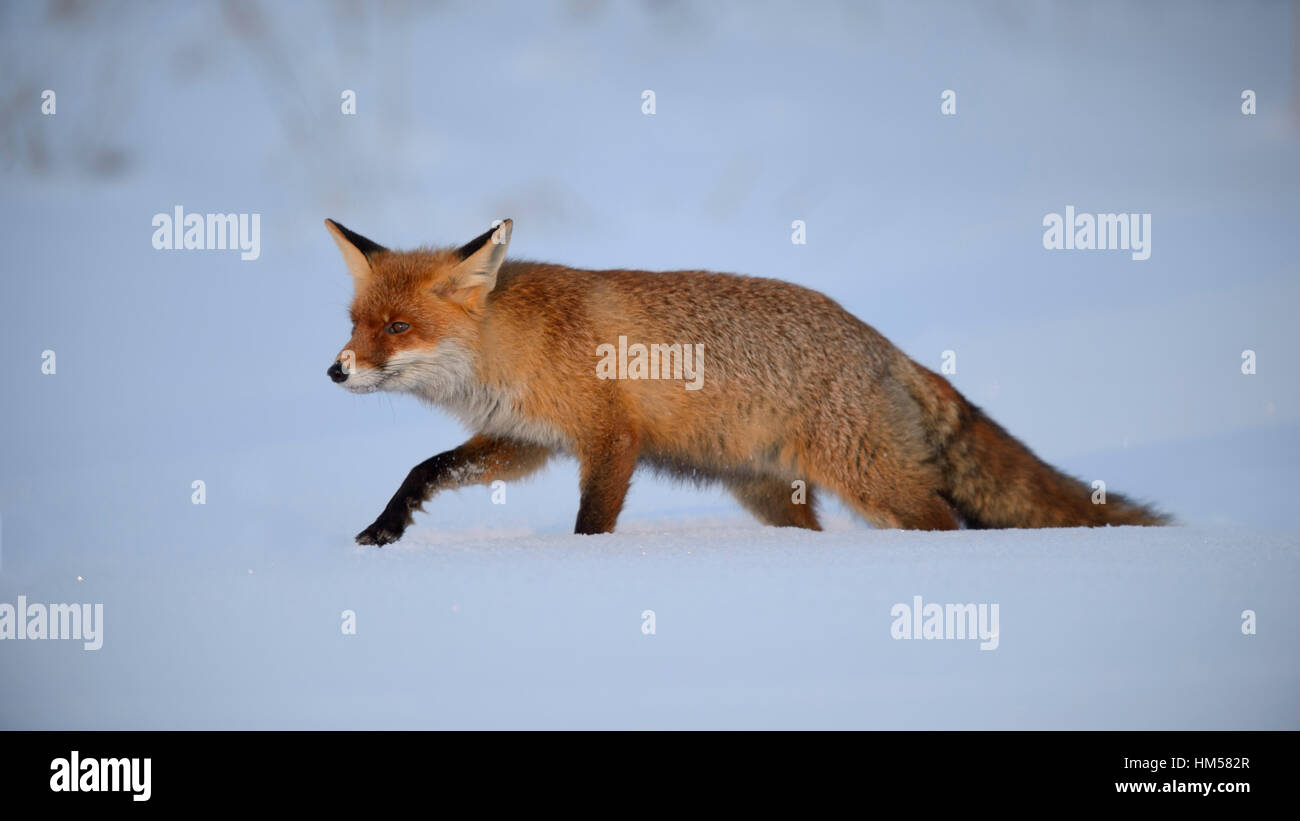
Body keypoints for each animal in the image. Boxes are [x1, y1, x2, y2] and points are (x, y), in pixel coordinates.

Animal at [325, 217, 1168, 546]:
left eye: (397, 328)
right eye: (356, 320)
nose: (335, 369)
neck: (516, 347)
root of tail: (884, 343)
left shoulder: (611, 436)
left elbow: (591, 524)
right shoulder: (524, 441)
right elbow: (426, 469)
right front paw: (385, 528)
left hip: (874, 482)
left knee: (946, 523)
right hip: (772, 495)